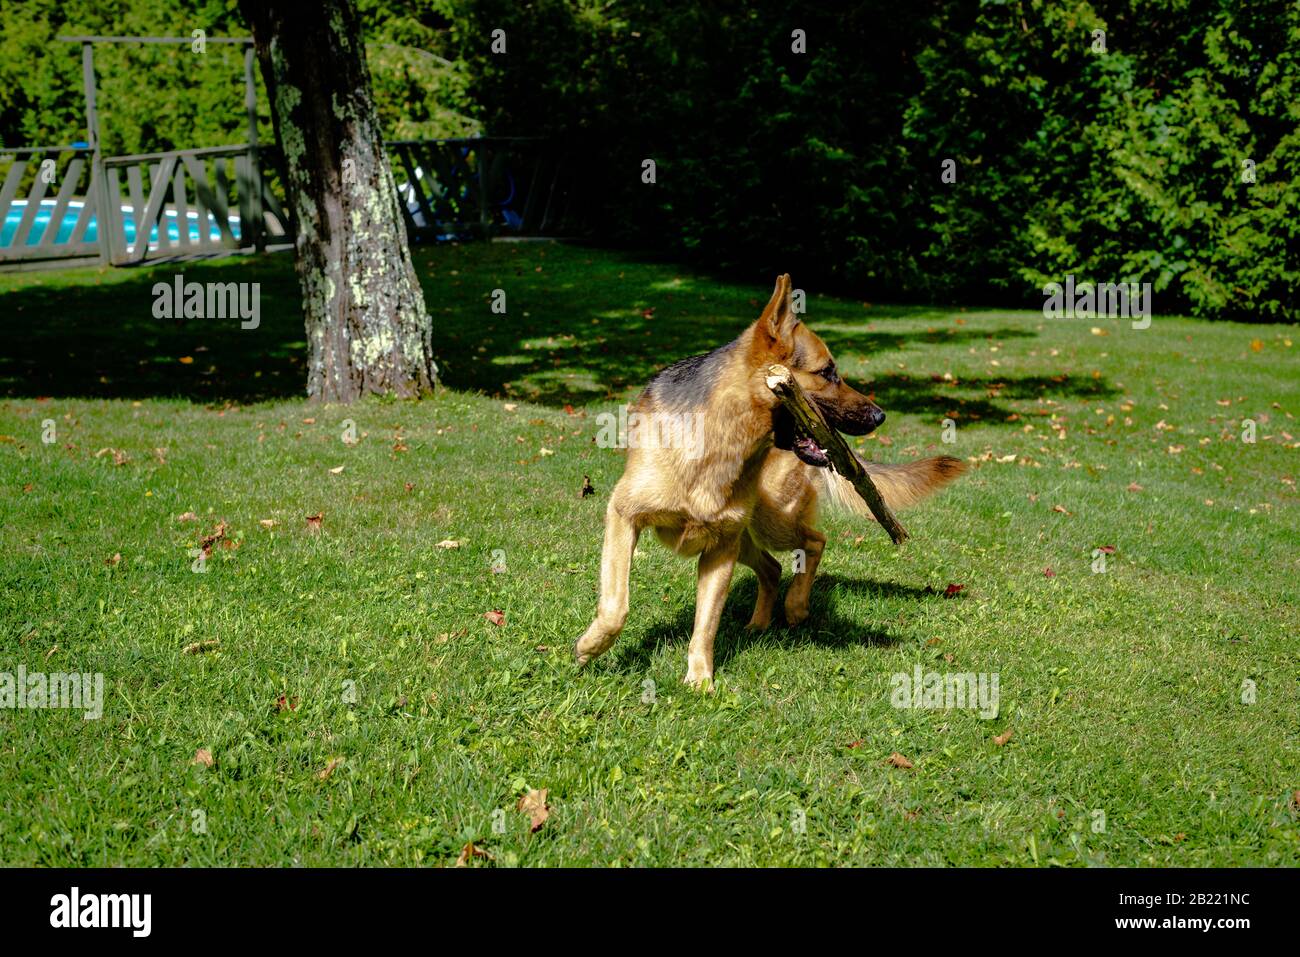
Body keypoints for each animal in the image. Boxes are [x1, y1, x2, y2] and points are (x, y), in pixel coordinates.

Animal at [574, 276, 961, 686]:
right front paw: (590, 647)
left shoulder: (719, 549)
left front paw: (699, 680)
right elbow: (616, 604)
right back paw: (760, 623)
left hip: (768, 524)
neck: (721, 442)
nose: (880, 416)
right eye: (828, 372)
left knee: (814, 541)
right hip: (750, 535)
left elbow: (706, 623)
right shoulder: (624, 517)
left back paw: (795, 606)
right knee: (775, 567)